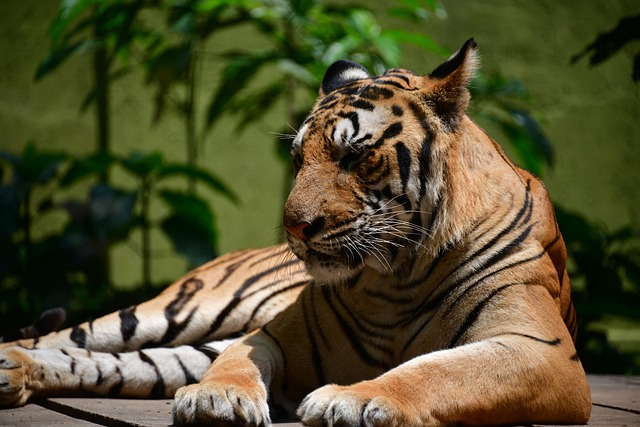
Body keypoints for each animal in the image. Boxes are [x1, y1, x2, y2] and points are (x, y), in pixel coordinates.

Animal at [0, 38, 591, 426]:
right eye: (296, 157)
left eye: (356, 155)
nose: (295, 226)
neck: (395, 278)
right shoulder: (274, 332)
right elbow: (238, 361)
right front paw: (215, 399)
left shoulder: (539, 350)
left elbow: (435, 372)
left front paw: (352, 399)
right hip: (180, 309)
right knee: (75, 339)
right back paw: (12, 364)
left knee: (108, 363)